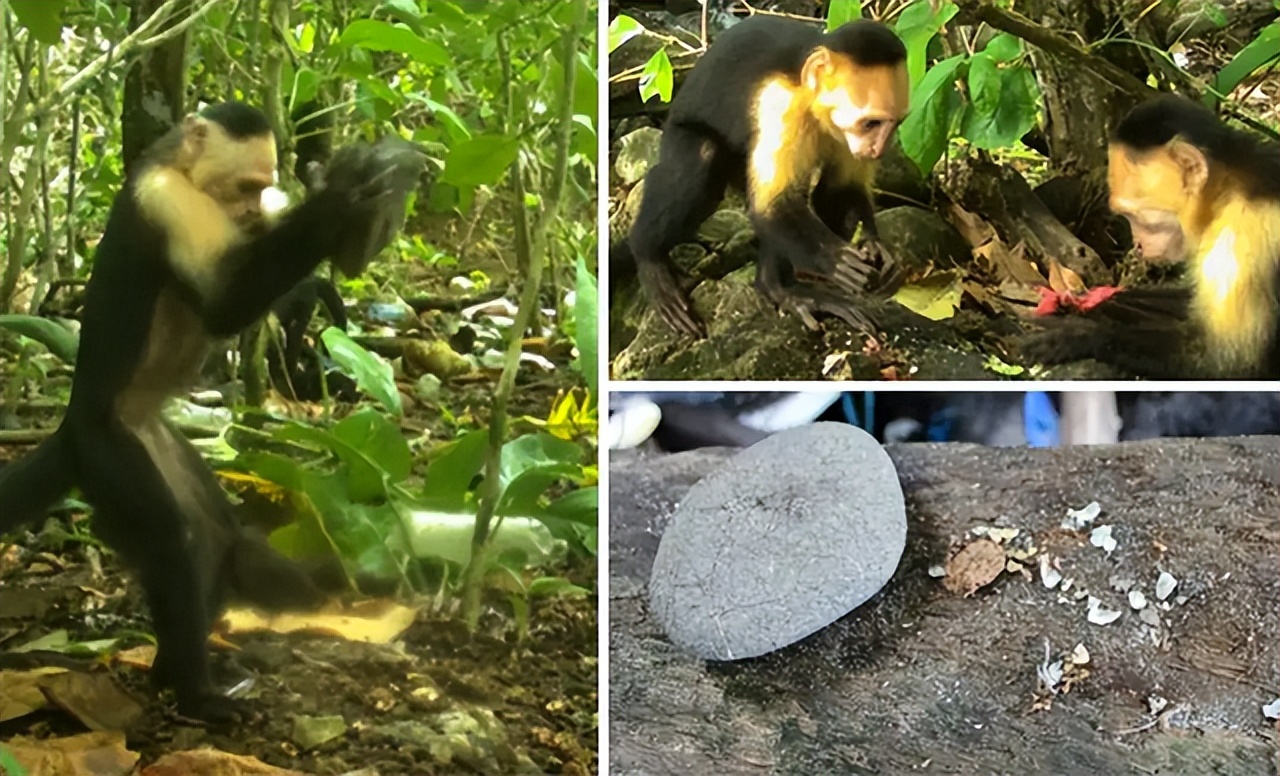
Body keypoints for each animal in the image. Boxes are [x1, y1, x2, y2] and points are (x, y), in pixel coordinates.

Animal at [0, 101, 425, 723]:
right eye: (244, 186)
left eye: (261, 188)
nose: (250, 209)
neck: (183, 169)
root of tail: (71, 427)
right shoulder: (169, 200)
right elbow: (225, 304)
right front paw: (343, 194)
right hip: (109, 451)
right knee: (174, 541)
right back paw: (196, 692)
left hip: (157, 438)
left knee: (221, 535)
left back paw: (179, 665)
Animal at [622, 17, 910, 338]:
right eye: (870, 124)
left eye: (895, 124)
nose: (878, 149)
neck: (812, 101)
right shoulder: (781, 105)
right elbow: (772, 205)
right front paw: (835, 259)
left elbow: (841, 189)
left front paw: (875, 246)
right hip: (680, 133)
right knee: (702, 162)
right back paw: (651, 256)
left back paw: (788, 288)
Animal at [1023, 94, 1280, 379]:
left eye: (1133, 216)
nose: (1137, 244)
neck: (1226, 193)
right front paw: (1104, 302)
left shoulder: (1243, 234)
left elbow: (1227, 365)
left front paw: (1078, 336)